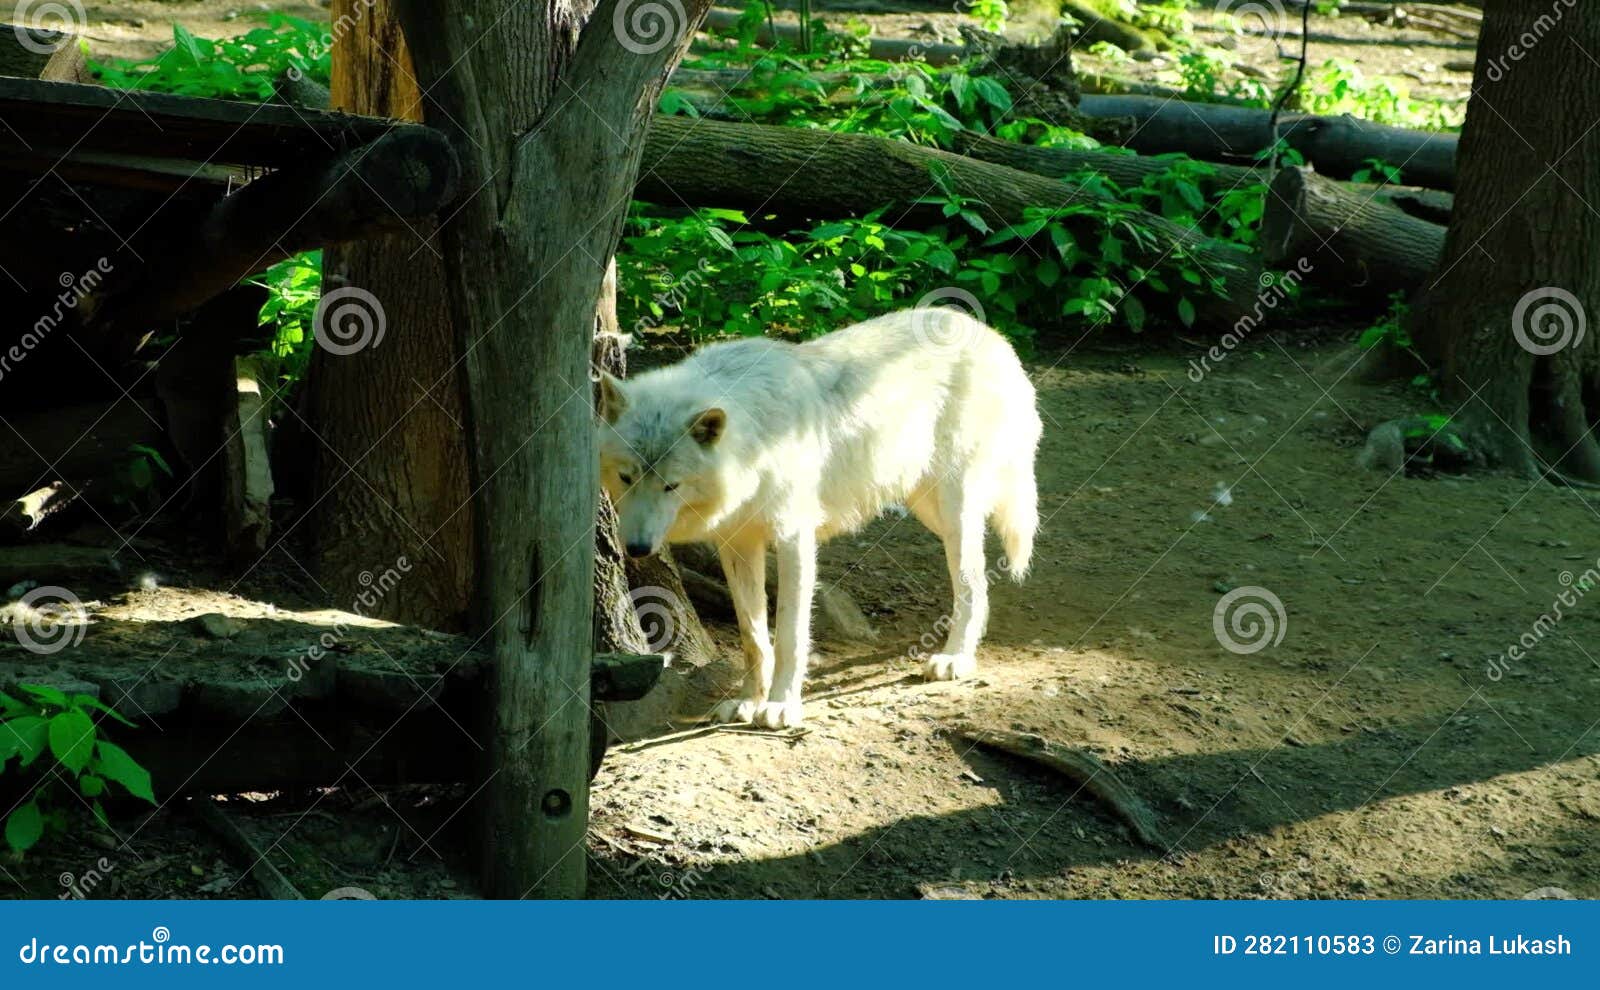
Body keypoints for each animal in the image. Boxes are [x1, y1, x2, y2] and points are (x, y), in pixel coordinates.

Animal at [596, 307, 1041, 728]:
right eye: (626, 477)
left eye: (671, 485)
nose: (637, 548)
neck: (755, 445)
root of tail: (992, 337)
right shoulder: (737, 544)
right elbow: (753, 636)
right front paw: (747, 701)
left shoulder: (795, 539)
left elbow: (790, 635)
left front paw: (780, 706)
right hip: (928, 507)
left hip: (953, 509)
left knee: (974, 580)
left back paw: (956, 658)